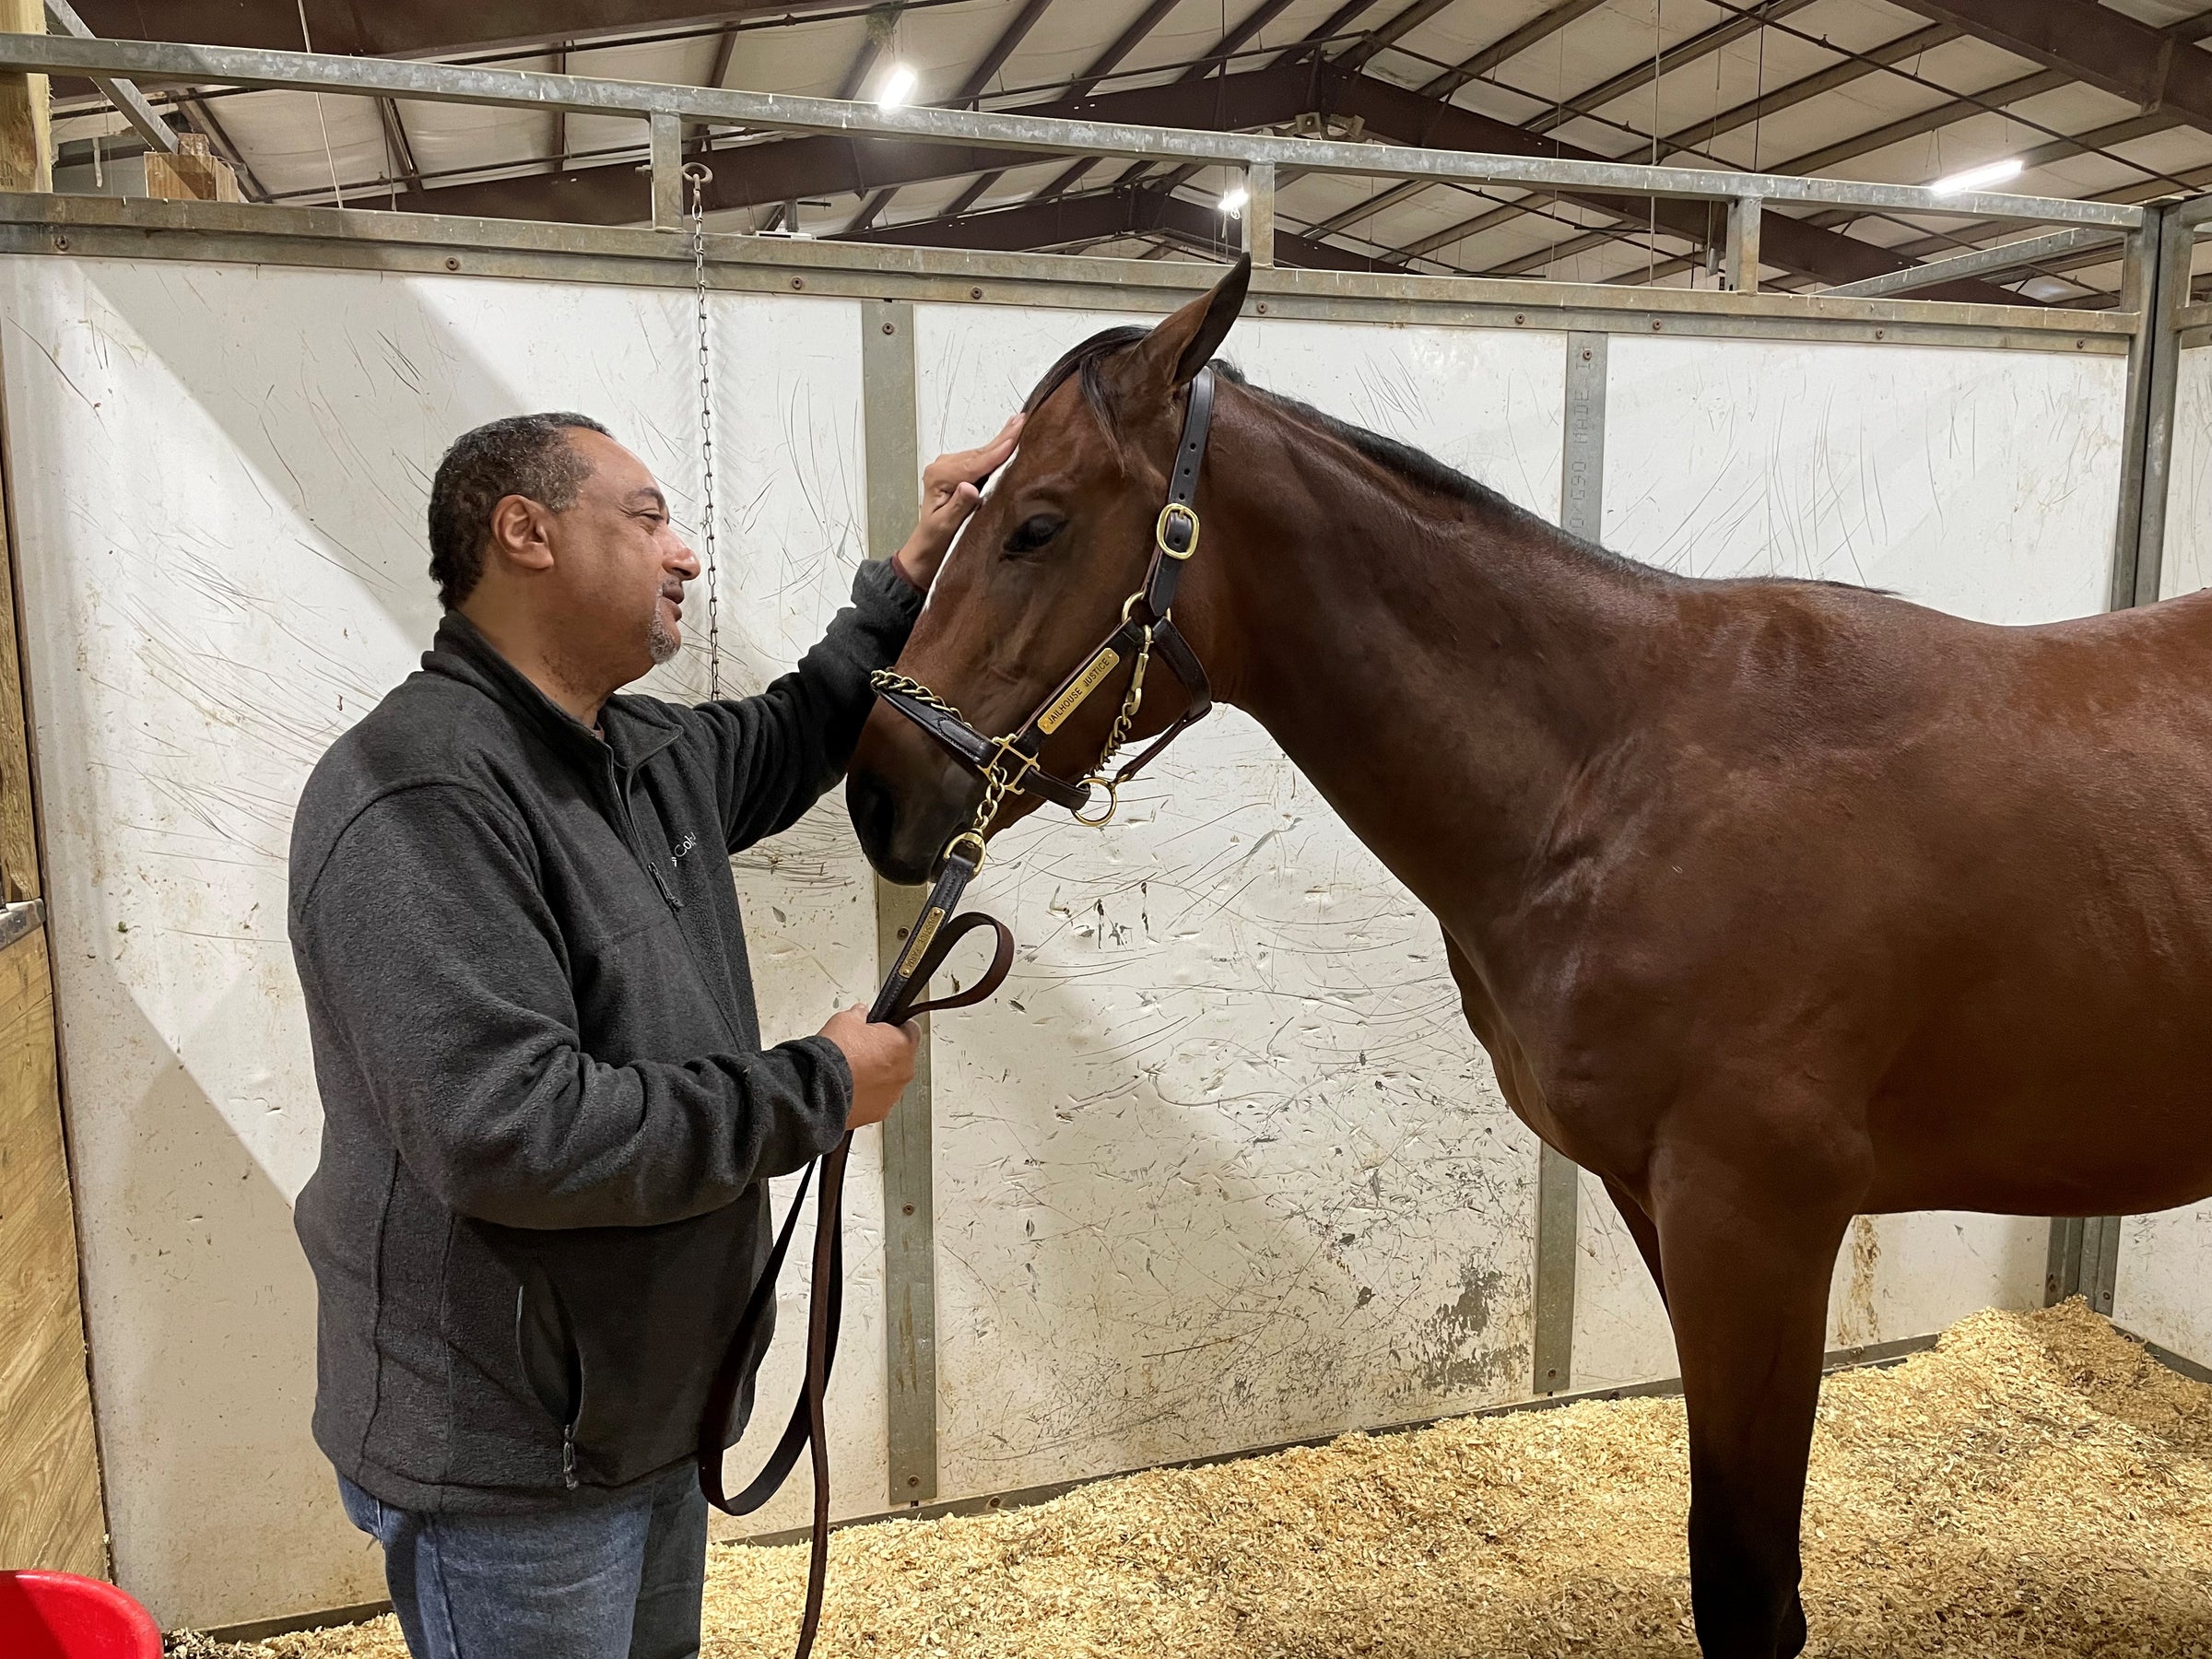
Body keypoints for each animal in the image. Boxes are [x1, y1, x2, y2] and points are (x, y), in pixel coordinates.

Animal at [842, 255, 2212, 1658]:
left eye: (1037, 525)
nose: (874, 790)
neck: (1616, 781)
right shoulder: (1665, 1209)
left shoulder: (1762, 1218)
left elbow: (1746, 1585)